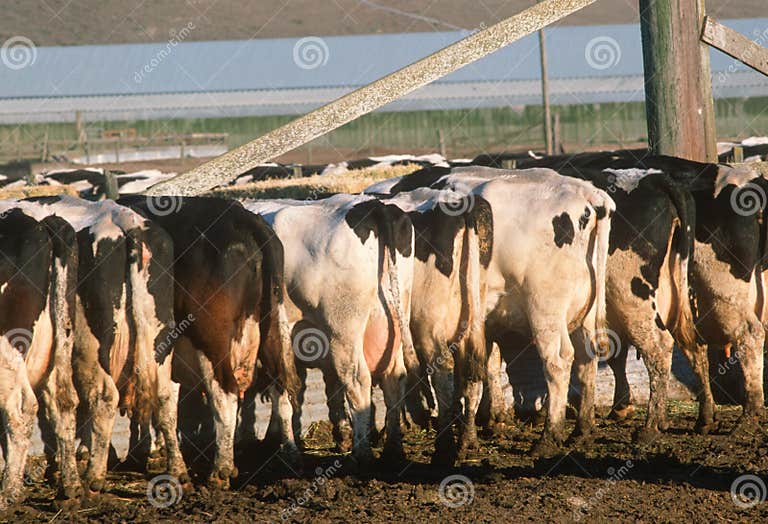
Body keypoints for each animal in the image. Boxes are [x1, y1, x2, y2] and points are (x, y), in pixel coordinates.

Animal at [0, 204, 81, 509]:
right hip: (59, 342)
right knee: (64, 400)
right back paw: (70, 488)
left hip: (8, 348)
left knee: (21, 411)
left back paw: (8, 493)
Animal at [23, 195, 188, 495]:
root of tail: (126, 220)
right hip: (158, 338)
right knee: (166, 396)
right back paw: (177, 470)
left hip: (90, 347)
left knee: (103, 397)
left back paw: (93, 476)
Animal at [122, 196, 300, 487]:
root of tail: (242, 219)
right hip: (272, 327)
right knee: (279, 387)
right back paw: (289, 453)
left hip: (210, 340)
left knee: (224, 393)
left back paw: (222, 470)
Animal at [242, 195, 415, 466]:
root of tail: (375, 206)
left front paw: (285, 448)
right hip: (393, 321)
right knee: (394, 379)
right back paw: (392, 450)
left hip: (343, 332)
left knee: (357, 381)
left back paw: (361, 453)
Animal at [370, 166, 615, 454]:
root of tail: (589, 194)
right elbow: (485, 364)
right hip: (584, 312)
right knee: (587, 359)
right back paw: (582, 431)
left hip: (545, 311)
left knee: (558, 361)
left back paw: (548, 437)